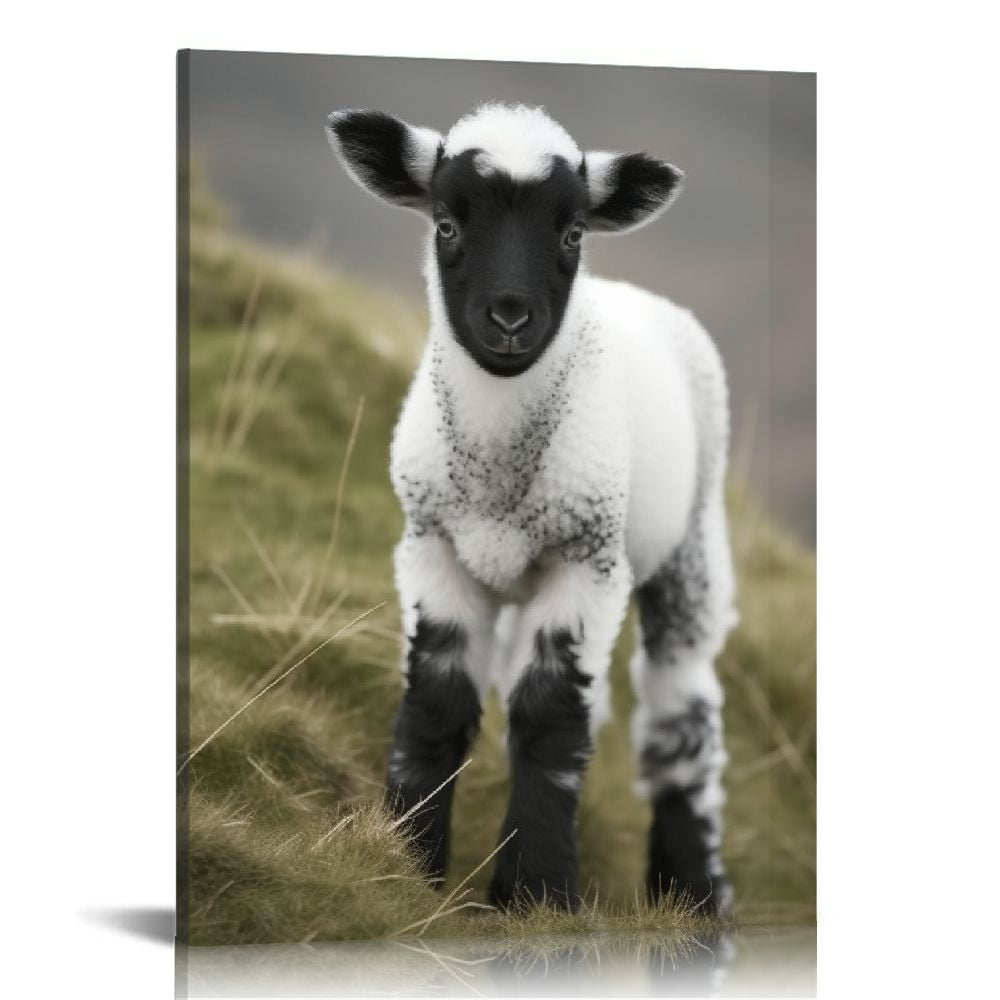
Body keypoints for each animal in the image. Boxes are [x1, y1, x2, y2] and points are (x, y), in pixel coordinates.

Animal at [326, 103, 737, 914]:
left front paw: (535, 891)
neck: (497, 471)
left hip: (690, 545)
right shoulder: (433, 547)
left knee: (681, 716)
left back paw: (694, 894)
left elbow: (548, 717)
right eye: (446, 224)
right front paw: (409, 862)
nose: (511, 317)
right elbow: (439, 701)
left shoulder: (588, 559)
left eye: (572, 233)